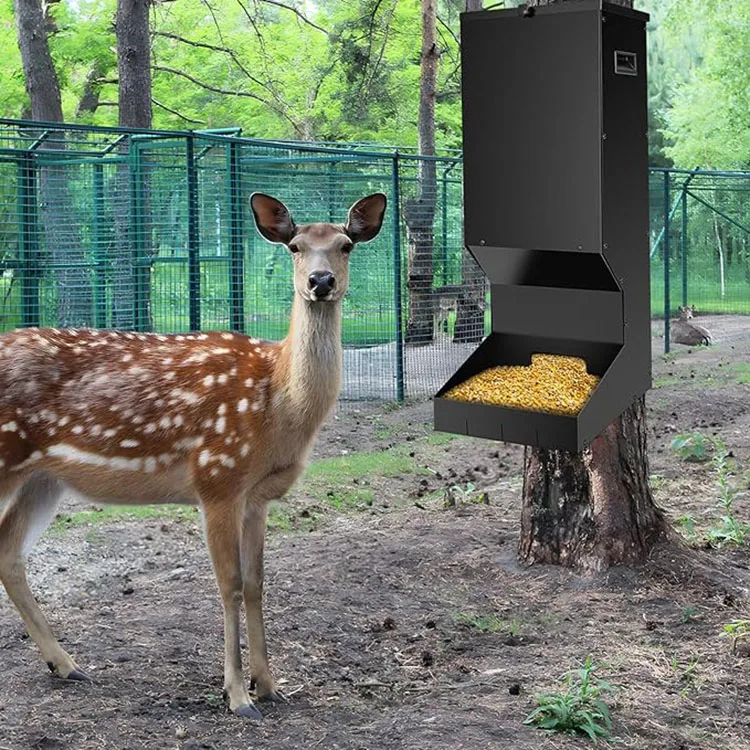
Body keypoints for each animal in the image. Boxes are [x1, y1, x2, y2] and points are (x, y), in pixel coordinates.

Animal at [0, 191, 387, 720]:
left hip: (43, 478)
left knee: (9, 552)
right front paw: (238, 696)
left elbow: (257, 582)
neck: (278, 404)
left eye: (346, 245)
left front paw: (270, 685)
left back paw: (67, 664)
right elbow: (229, 584)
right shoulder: (217, 478)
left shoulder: (257, 497)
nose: (321, 281)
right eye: (295, 247)